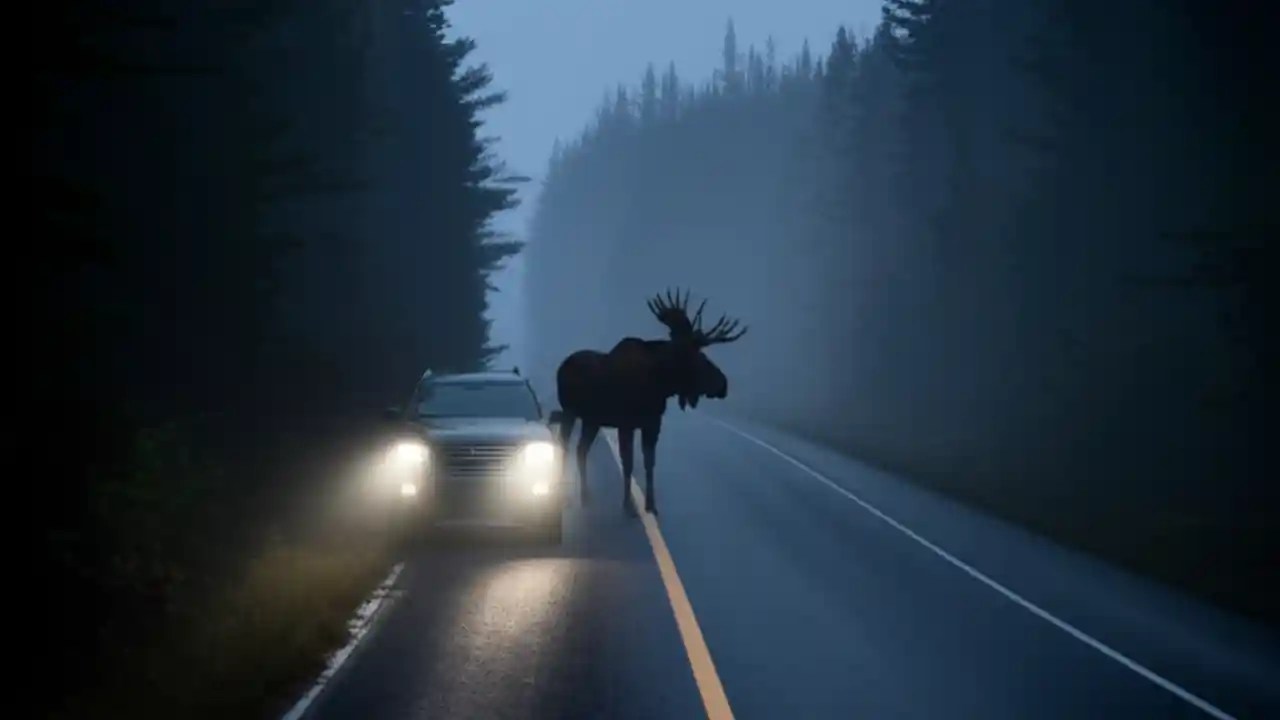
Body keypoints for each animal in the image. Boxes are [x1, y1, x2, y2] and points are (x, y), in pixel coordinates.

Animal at [550, 289, 748, 515]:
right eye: (698, 356)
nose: (723, 384)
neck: (660, 382)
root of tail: (562, 366)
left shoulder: (652, 424)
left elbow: (649, 463)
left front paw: (651, 505)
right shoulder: (626, 424)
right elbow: (628, 463)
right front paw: (628, 506)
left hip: (592, 420)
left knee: (581, 449)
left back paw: (585, 495)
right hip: (569, 411)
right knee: (564, 443)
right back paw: (563, 492)